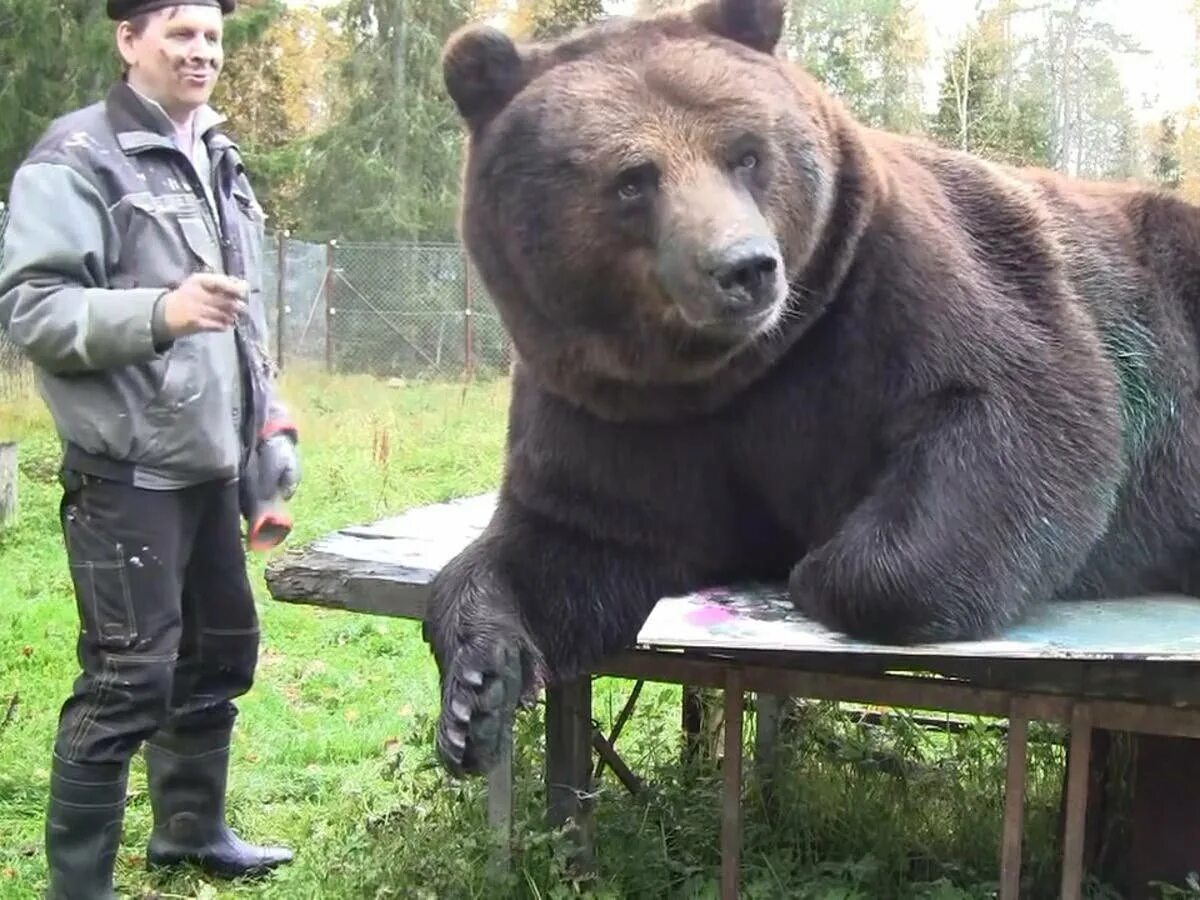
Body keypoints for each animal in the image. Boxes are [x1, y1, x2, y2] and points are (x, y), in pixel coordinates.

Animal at [422, 0, 1200, 777]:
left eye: (745, 153)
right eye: (633, 179)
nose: (744, 267)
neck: (728, 373)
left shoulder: (900, 286)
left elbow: (1016, 416)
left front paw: (820, 568)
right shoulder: (612, 414)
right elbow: (567, 541)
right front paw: (475, 696)